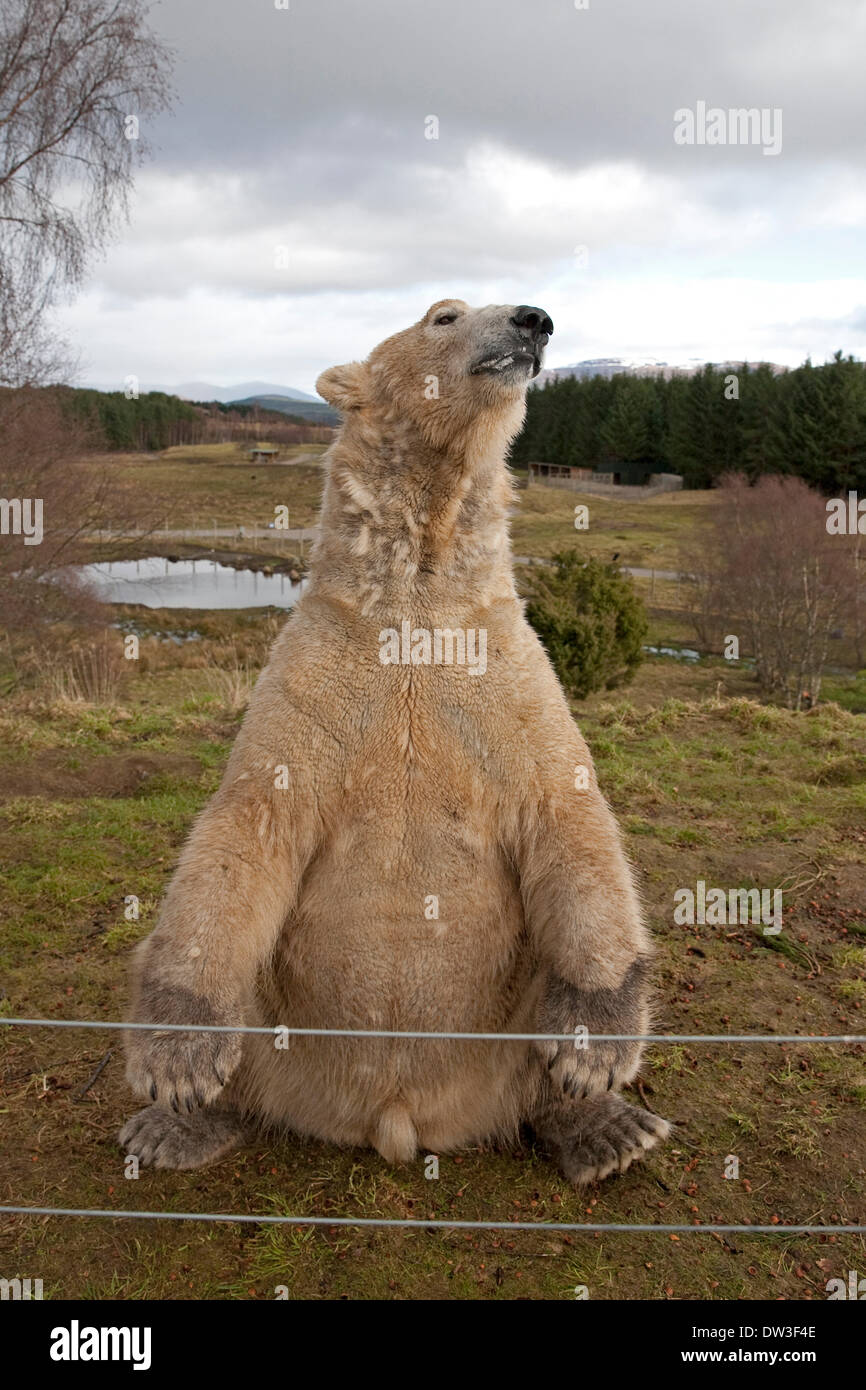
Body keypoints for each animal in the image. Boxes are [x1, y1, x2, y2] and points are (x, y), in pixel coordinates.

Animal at [119, 299, 670, 1185]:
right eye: (444, 314)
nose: (535, 319)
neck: (412, 608)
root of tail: (396, 1116)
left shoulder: (508, 672)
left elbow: (568, 813)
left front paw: (596, 1053)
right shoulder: (312, 680)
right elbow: (247, 827)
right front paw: (176, 1062)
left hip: (504, 1026)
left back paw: (607, 1129)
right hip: (281, 1021)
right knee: (247, 977)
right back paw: (177, 1127)